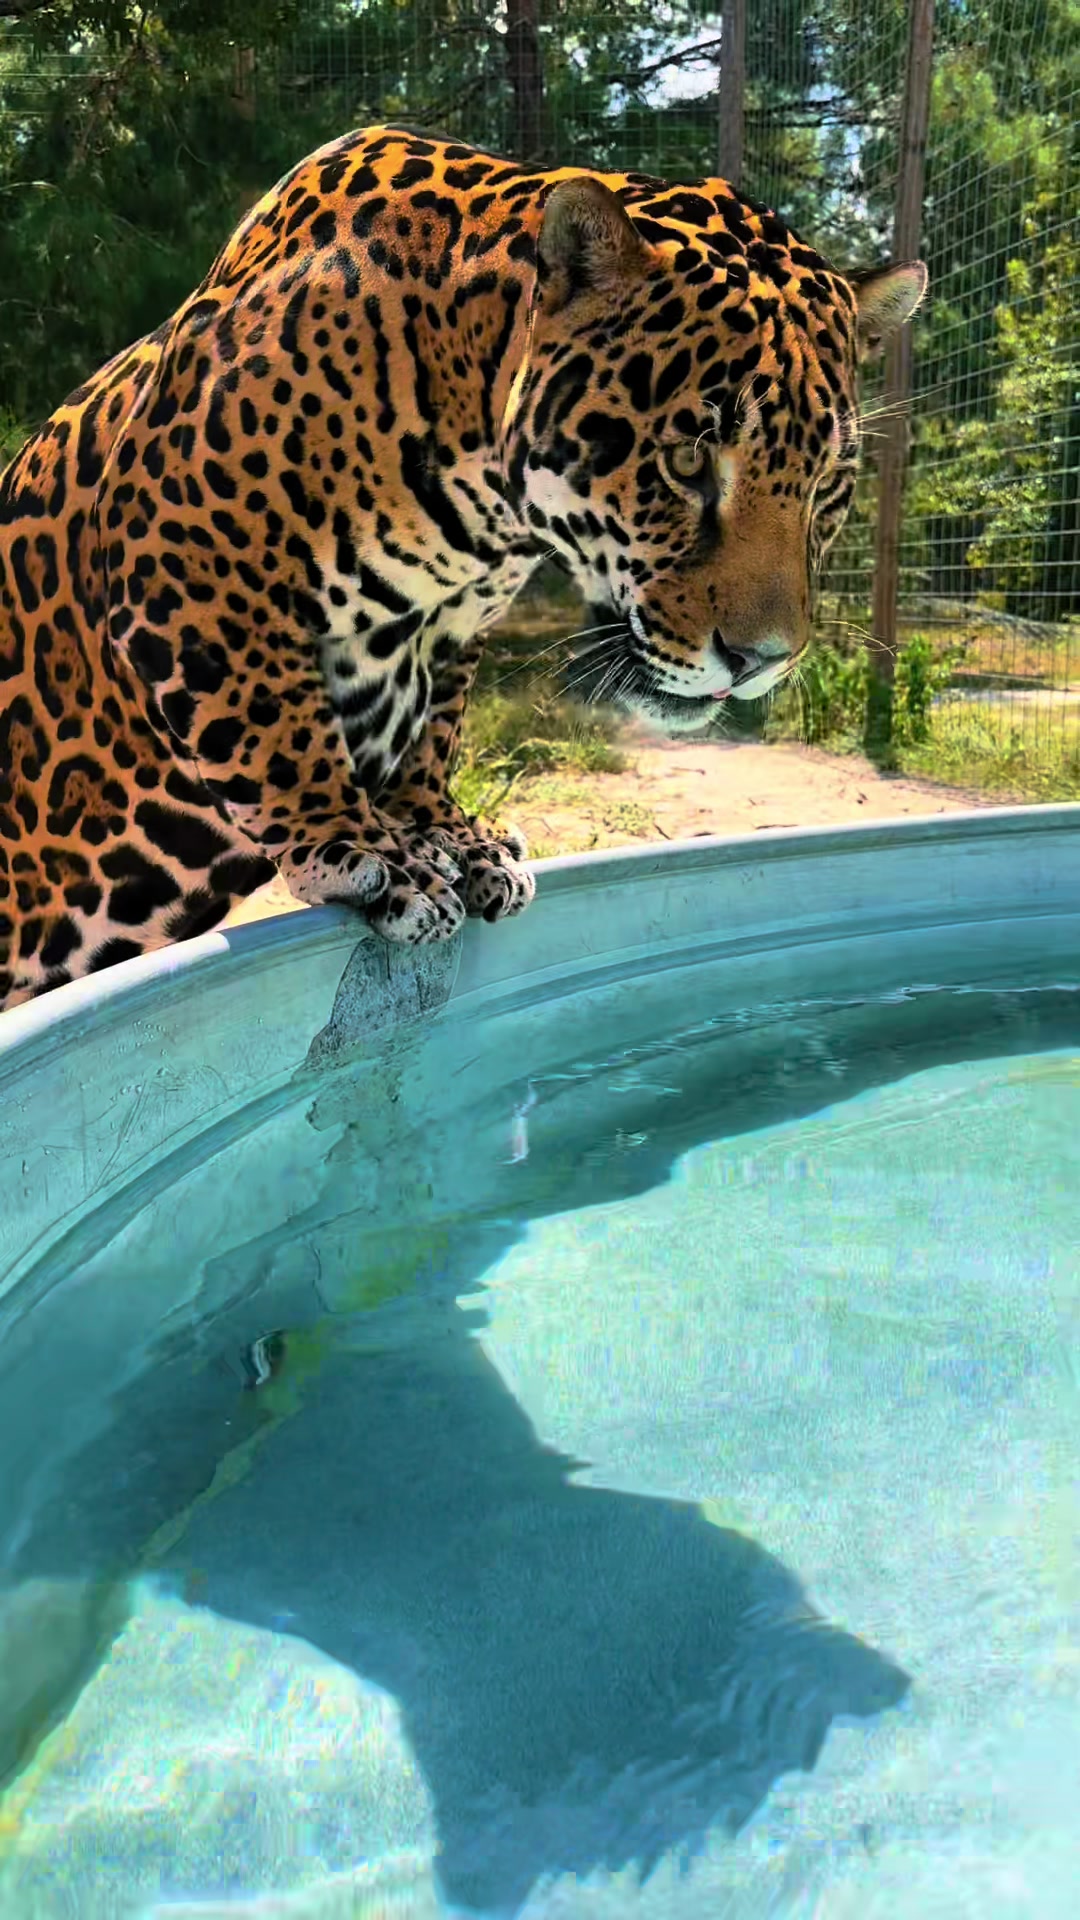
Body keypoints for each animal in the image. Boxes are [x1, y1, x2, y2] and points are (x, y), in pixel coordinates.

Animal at [0, 124, 926, 1010]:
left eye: (827, 486)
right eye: (688, 459)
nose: (761, 662)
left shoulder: (453, 627)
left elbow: (433, 731)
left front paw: (442, 833)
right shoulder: (183, 551)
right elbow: (276, 720)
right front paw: (357, 847)